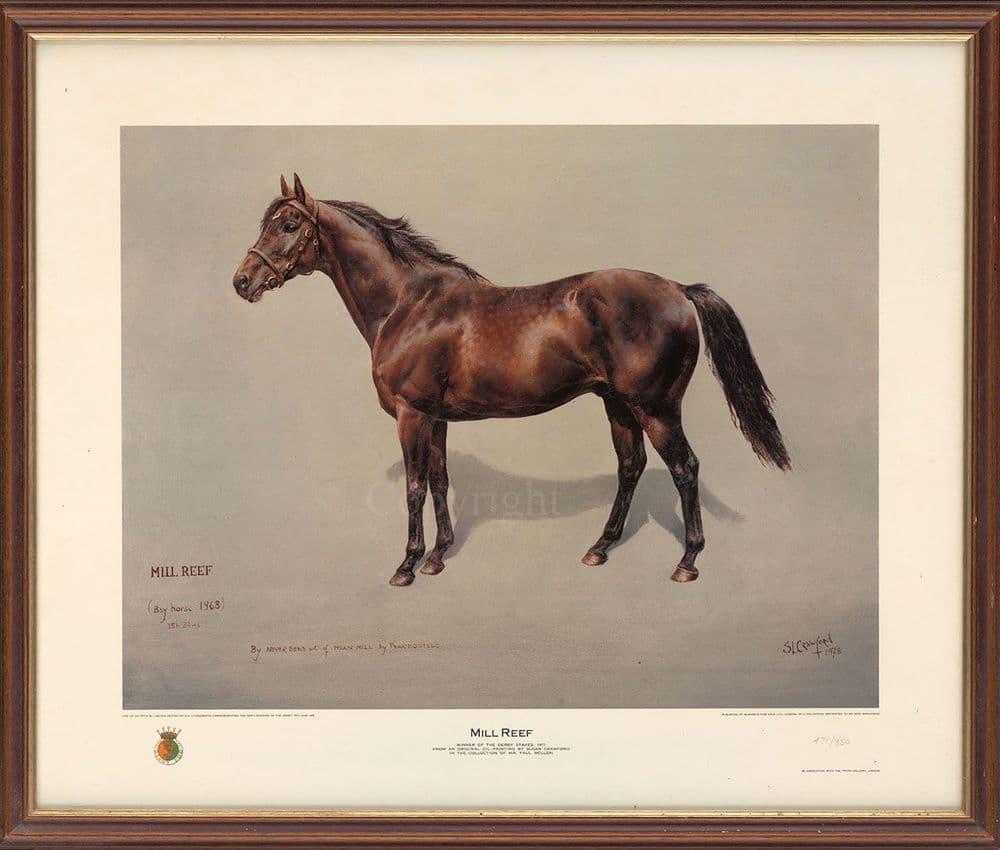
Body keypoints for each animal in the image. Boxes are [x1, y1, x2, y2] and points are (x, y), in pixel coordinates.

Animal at [233, 174, 790, 588]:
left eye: (288, 224)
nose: (242, 281)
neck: (409, 304)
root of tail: (678, 288)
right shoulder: (436, 418)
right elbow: (440, 481)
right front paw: (438, 557)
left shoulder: (412, 415)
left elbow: (414, 487)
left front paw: (407, 566)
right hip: (618, 405)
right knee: (630, 467)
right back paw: (599, 548)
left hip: (655, 408)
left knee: (685, 469)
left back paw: (687, 563)